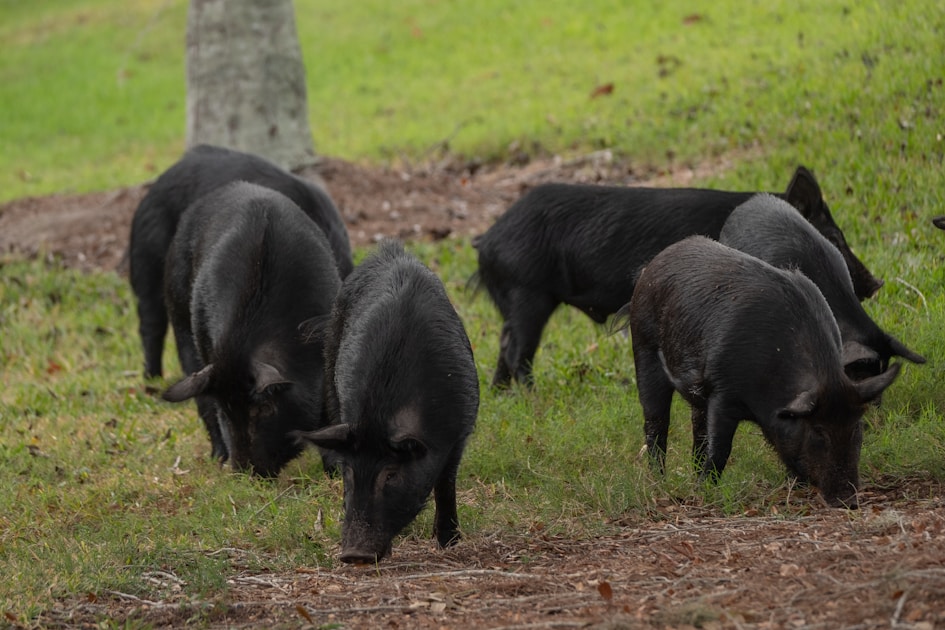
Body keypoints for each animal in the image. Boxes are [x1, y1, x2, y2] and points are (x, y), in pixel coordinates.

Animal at [161, 181, 341, 476]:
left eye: (265, 407)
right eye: (226, 409)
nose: (245, 472)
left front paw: (335, 472)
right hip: (180, 319)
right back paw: (218, 457)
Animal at [294, 240, 479, 564]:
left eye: (391, 474)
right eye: (349, 472)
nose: (354, 554)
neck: (383, 415)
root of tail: (391, 250)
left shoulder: (459, 430)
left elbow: (446, 484)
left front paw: (449, 543)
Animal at [473, 166, 882, 387]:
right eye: (833, 239)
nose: (875, 283)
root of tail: (486, 239)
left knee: (504, 344)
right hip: (527, 293)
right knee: (517, 350)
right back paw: (531, 398)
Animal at [621, 236, 901, 508]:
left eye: (856, 427)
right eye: (818, 430)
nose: (848, 501)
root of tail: (652, 265)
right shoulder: (722, 393)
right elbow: (721, 448)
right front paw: (706, 492)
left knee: (696, 428)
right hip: (643, 348)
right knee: (656, 424)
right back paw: (660, 482)